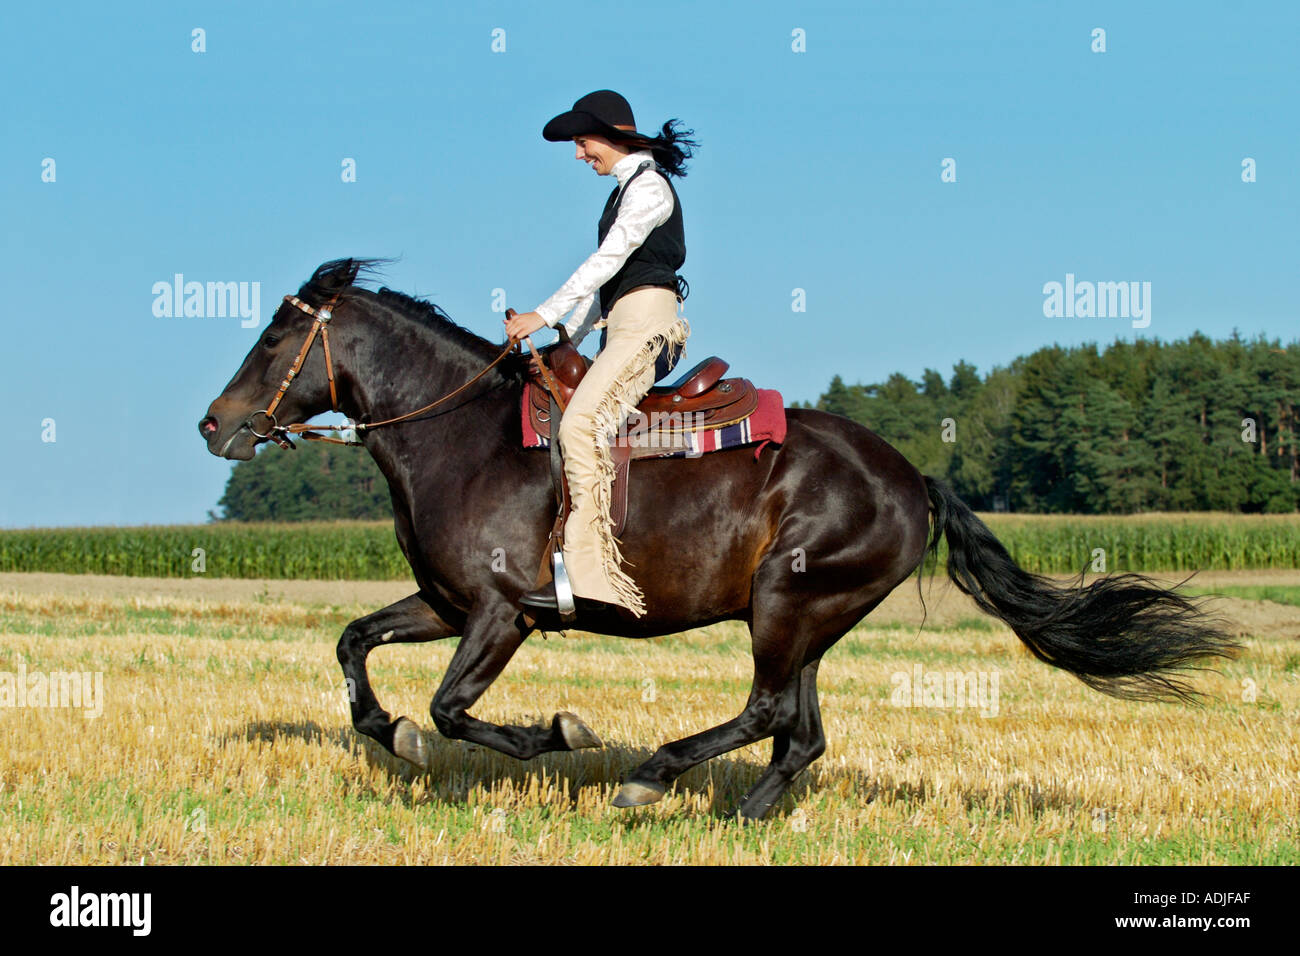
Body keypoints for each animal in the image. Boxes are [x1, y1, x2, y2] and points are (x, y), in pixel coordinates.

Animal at [198, 258, 1240, 820]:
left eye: (269, 341)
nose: (215, 425)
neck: (462, 437)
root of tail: (914, 479)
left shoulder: (501, 613)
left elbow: (455, 708)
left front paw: (558, 734)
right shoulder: (445, 602)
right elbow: (355, 646)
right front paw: (392, 736)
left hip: (786, 601)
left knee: (770, 713)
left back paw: (652, 777)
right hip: (807, 617)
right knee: (799, 733)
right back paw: (741, 813)